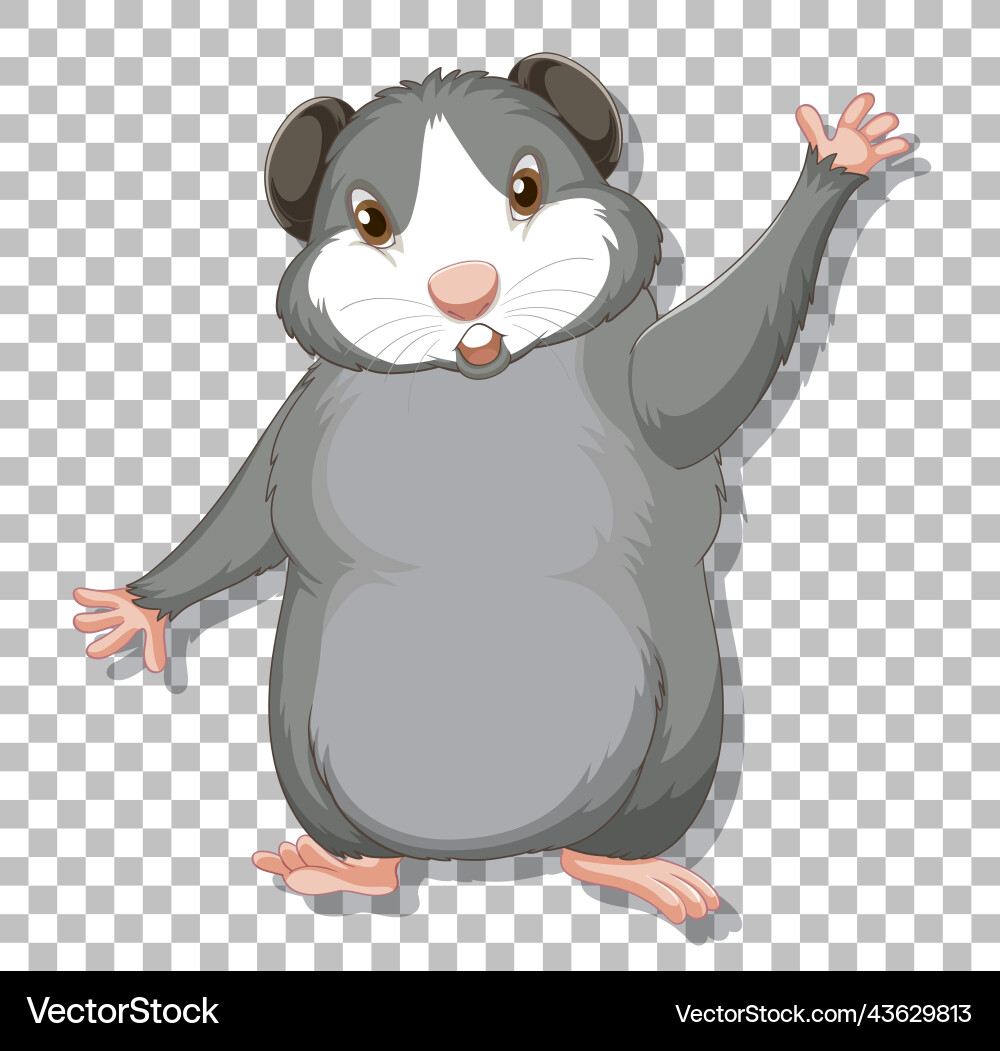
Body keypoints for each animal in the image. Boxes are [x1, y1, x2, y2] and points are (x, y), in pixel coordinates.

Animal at [74, 56, 908, 922]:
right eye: (371, 219)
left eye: (526, 188)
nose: (465, 289)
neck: (476, 370)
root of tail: (483, 852)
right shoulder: (299, 417)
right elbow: (245, 517)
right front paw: (135, 608)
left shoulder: (641, 385)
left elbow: (703, 371)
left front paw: (839, 156)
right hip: (299, 750)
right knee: (370, 848)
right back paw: (343, 867)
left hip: (684, 741)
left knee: (612, 838)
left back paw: (636, 869)